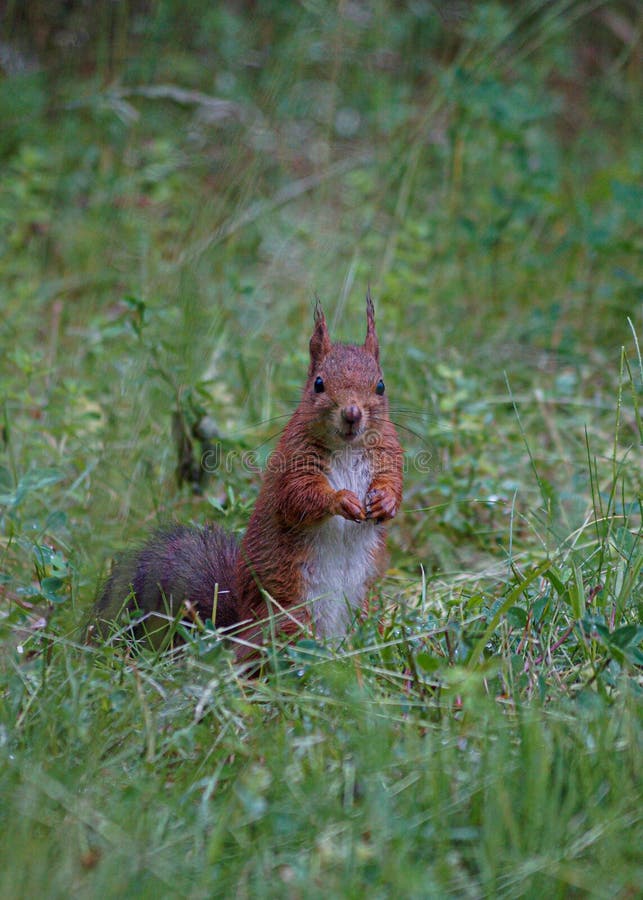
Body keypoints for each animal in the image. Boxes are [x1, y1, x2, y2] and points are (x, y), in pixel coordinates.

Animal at [95, 292, 404, 661]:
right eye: (318, 384)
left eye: (381, 385)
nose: (352, 414)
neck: (348, 447)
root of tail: (238, 630)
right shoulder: (292, 463)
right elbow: (299, 497)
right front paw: (341, 500)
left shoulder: (388, 454)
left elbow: (394, 482)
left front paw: (385, 502)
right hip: (288, 617)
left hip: (364, 611)